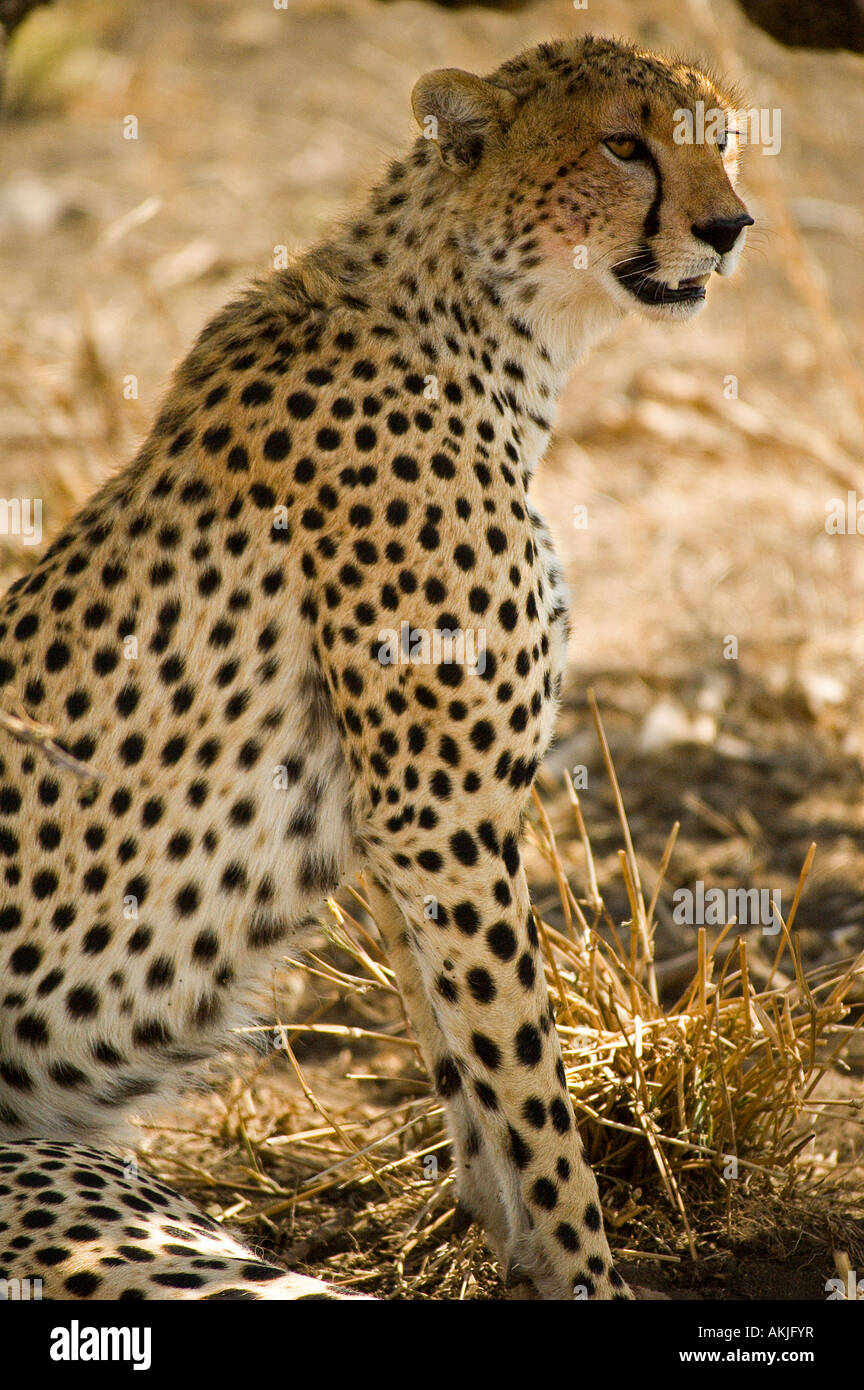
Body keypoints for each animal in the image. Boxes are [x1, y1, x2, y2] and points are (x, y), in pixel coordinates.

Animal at [0, 34, 752, 1301]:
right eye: (622, 143)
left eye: (723, 139)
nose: (733, 227)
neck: (488, 327)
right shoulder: (442, 808)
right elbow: (532, 1094)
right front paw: (586, 1273)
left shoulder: (407, 826)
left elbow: (475, 1081)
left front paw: (518, 1250)